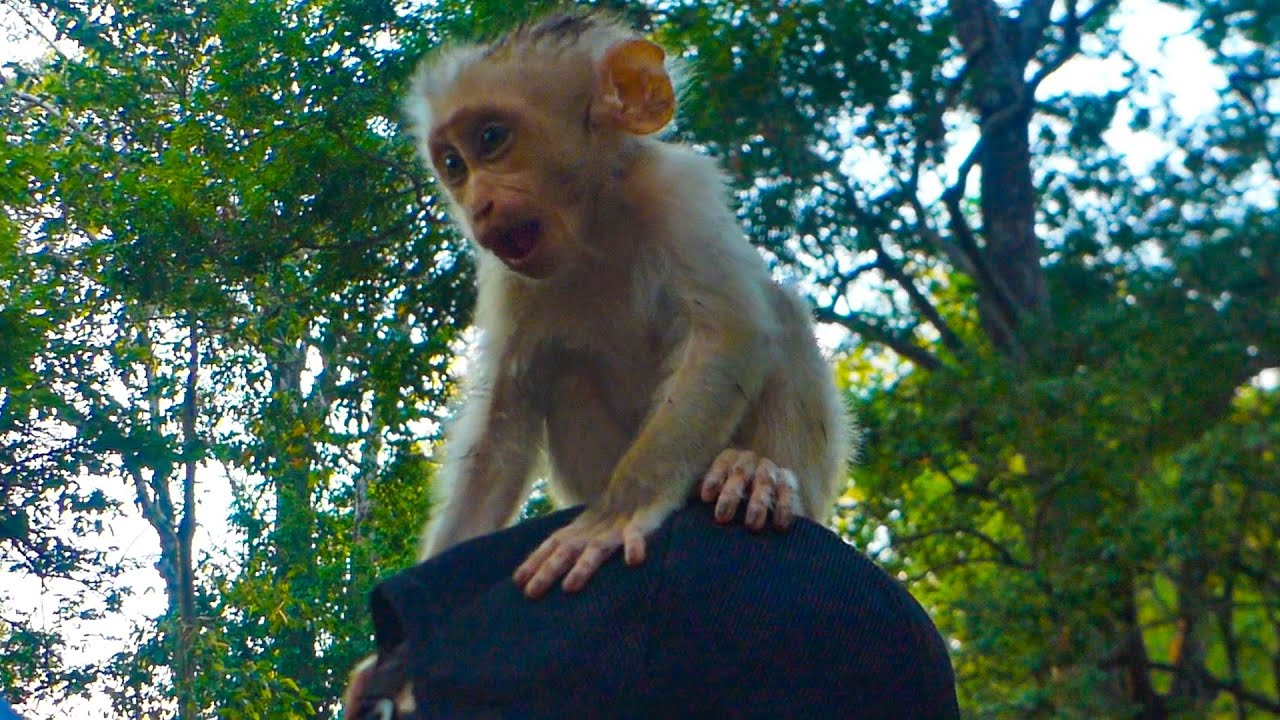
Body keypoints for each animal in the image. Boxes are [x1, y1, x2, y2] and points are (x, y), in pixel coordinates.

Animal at [344, 12, 852, 714]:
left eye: (492, 139)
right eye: (452, 164)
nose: (476, 206)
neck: (591, 222)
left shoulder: (675, 191)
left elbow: (730, 332)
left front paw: (615, 515)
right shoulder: (509, 277)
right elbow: (502, 422)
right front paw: (393, 663)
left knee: (778, 311)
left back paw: (756, 473)